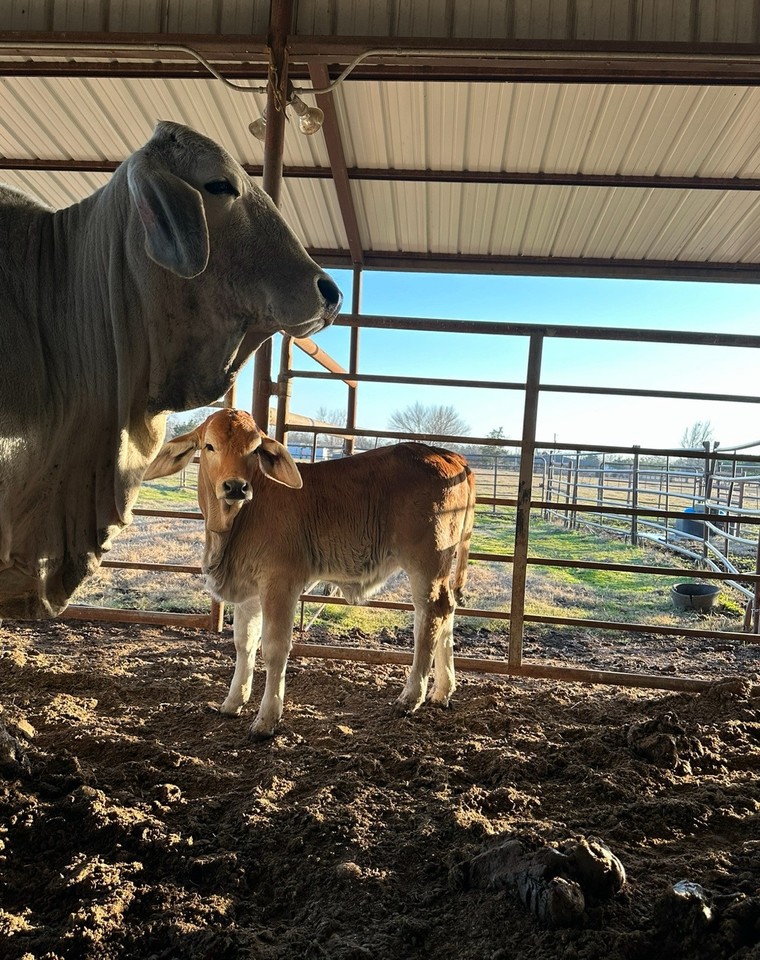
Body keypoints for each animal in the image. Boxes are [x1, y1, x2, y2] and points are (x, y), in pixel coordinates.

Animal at [145, 408, 476, 738]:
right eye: (209, 446)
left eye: (254, 449)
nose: (236, 487)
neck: (234, 524)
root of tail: (450, 456)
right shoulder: (249, 591)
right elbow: (244, 643)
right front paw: (232, 702)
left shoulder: (280, 583)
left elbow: (274, 648)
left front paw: (267, 718)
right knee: (447, 611)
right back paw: (442, 691)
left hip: (426, 562)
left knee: (430, 615)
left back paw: (411, 697)